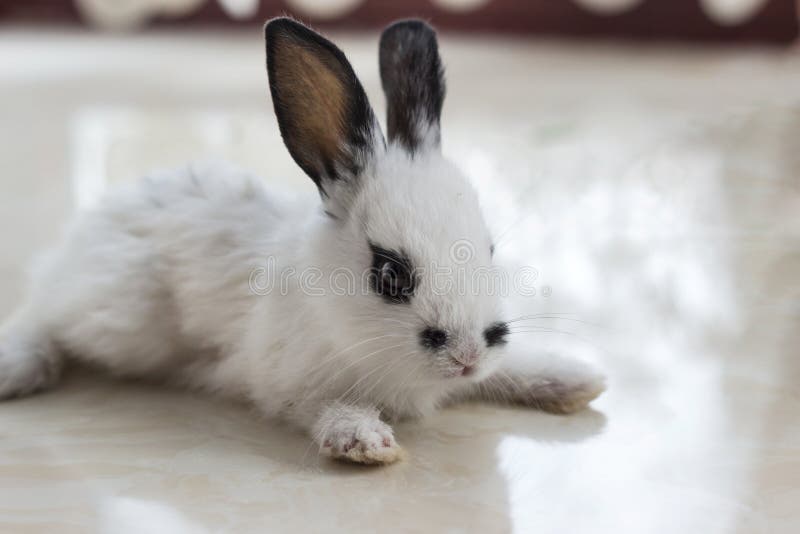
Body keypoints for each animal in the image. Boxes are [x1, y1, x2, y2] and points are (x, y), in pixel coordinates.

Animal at [0, 18, 605, 465]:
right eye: (390, 275)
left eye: (489, 251)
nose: (466, 358)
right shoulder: (290, 385)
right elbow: (325, 408)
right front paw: (367, 443)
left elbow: (512, 369)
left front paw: (580, 382)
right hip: (118, 318)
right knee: (42, 317)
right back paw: (18, 369)